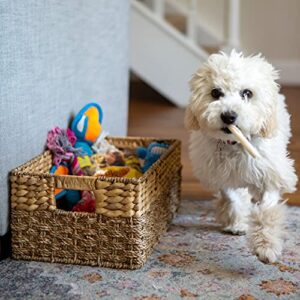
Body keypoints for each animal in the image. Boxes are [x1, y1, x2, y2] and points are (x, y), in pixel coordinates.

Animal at [185, 51, 298, 262]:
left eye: (247, 93)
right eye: (215, 93)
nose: (229, 116)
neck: (234, 144)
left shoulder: (270, 173)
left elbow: (266, 209)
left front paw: (266, 246)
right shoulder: (220, 173)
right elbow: (232, 197)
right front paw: (236, 221)